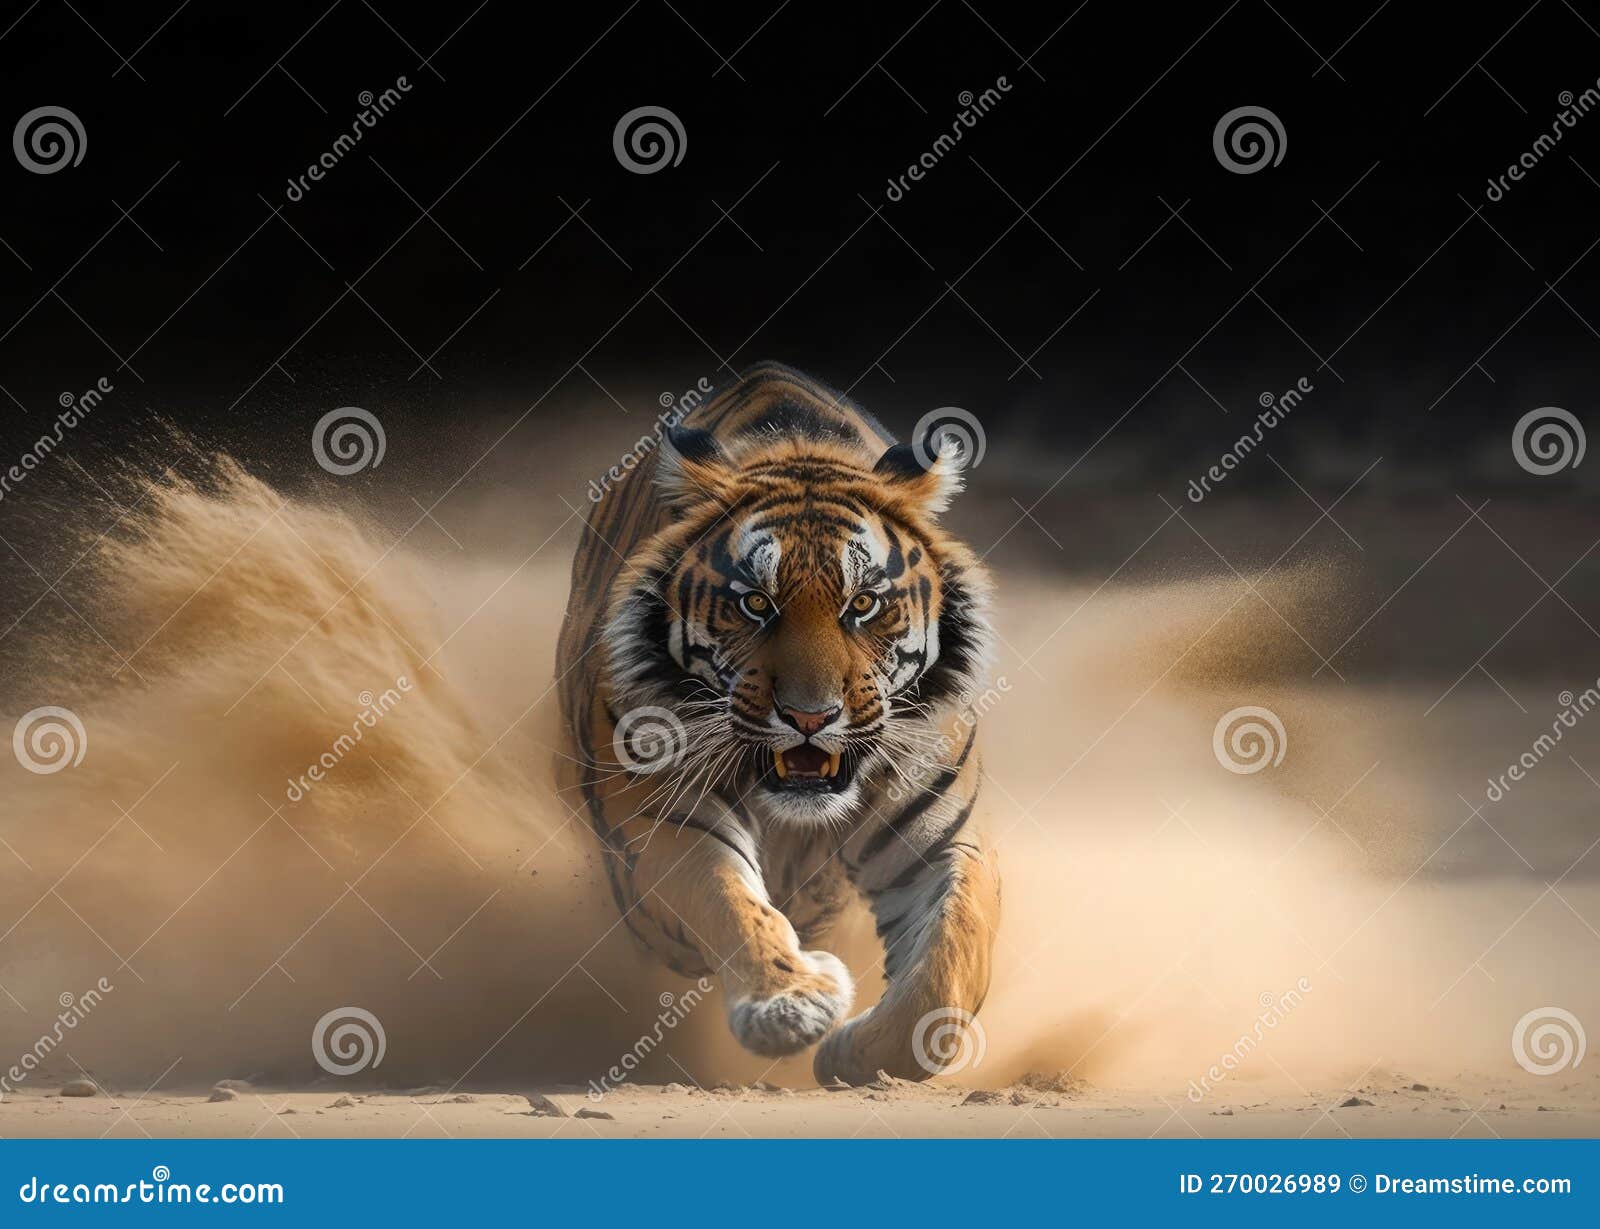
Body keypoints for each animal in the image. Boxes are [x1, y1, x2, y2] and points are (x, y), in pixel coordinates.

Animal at [556, 361, 999, 1085]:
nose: (810, 715)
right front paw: (790, 1002)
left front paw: (856, 1051)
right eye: (755, 604)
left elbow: (952, 968)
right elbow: (729, 902)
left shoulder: (943, 839)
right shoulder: (667, 818)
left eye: (864, 603)